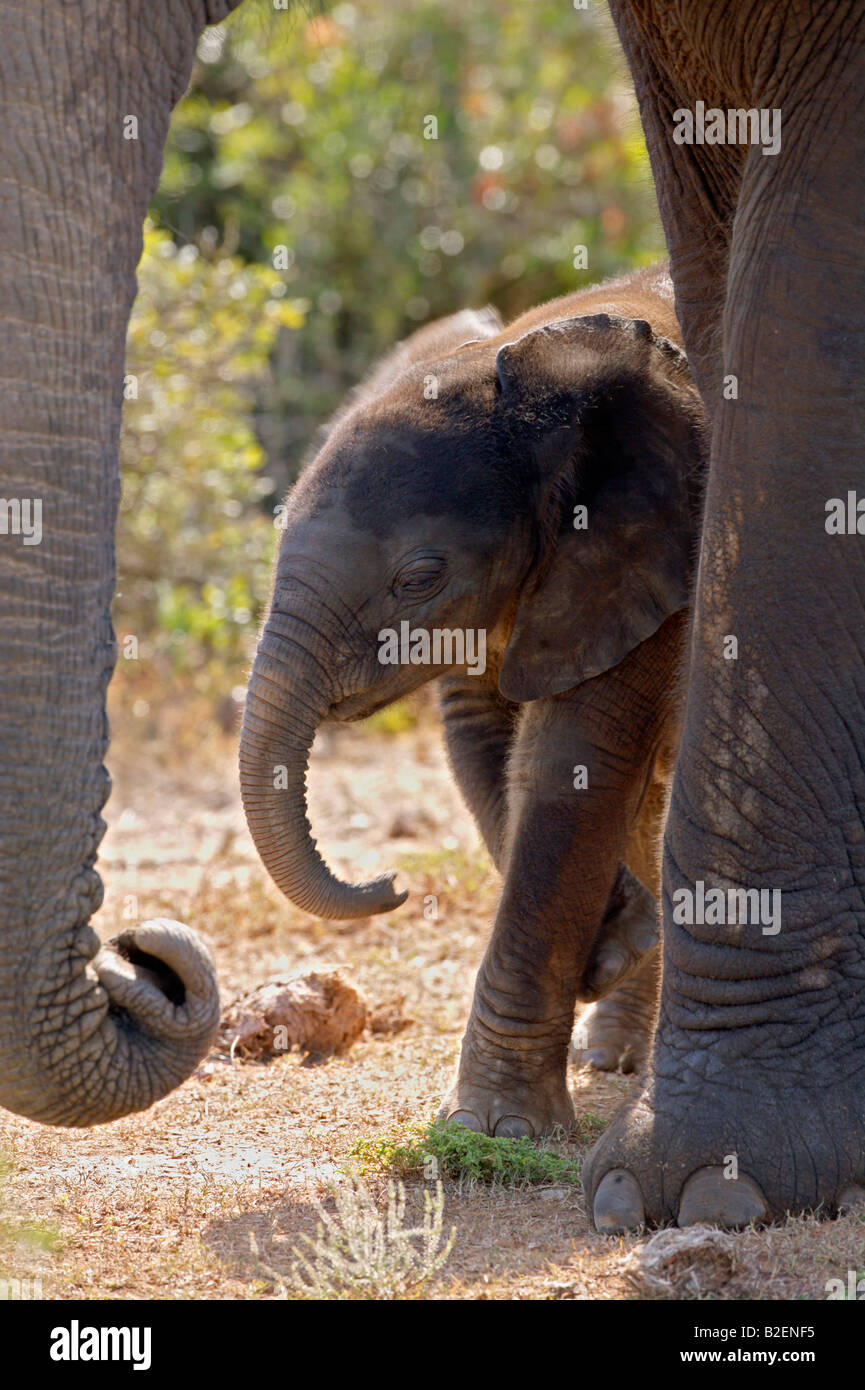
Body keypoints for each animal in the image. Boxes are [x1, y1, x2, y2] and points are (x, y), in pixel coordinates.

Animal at [240, 264, 708, 1138]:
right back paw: (618, 1054)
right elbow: (486, 745)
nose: (391, 884)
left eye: (418, 578)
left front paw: (496, 1130)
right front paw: (619, 934)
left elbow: (568, 762)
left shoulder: (657, 554)